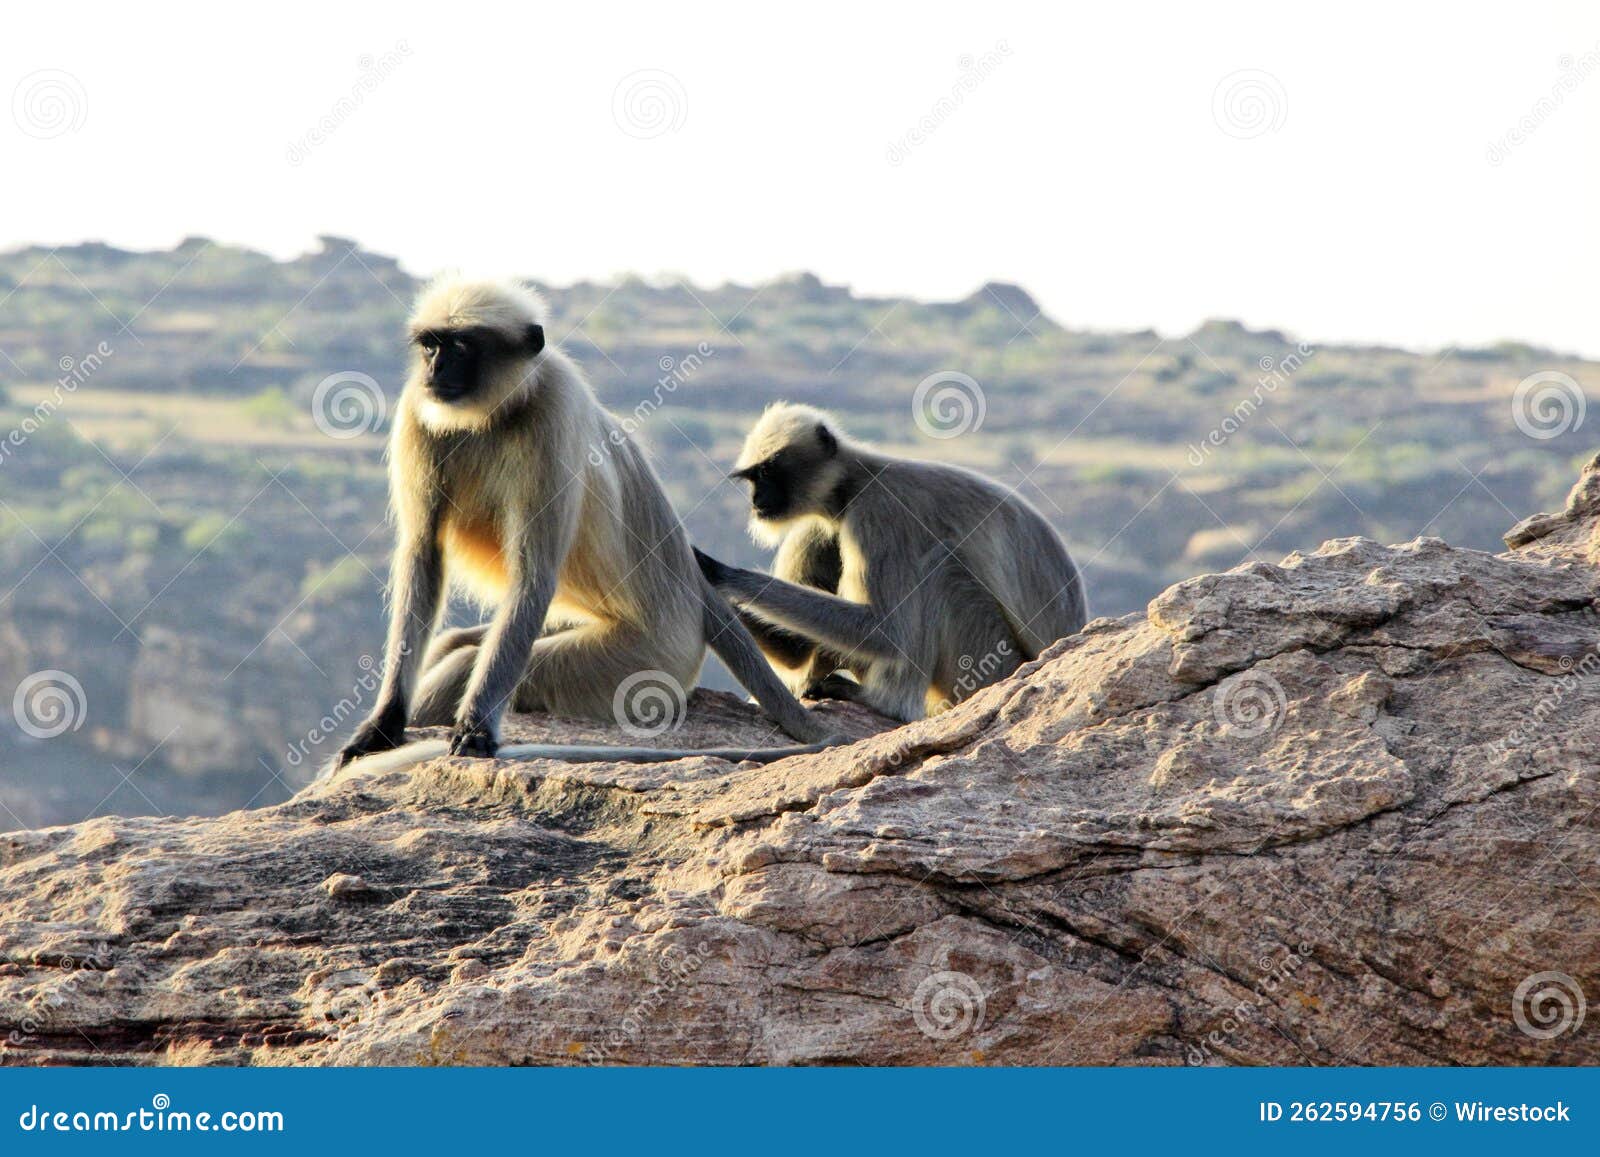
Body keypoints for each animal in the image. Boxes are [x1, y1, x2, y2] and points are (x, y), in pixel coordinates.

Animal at [334, 277, 836, 771]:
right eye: (430, 346)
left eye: (460, 347)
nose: (434, 370)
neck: (498, 410)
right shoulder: (417, 407)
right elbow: (425, 551)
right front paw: (383, 723)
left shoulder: (554, 405)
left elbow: (534, 572)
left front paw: (475, 728)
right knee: (454, 645)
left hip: (640, 662)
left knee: (463, 665)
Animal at [694, 402, 1087, 723]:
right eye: (752, 477)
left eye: (768, 472)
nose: (757, 500)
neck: (853, 484)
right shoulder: (816, 526)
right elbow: (796, 650)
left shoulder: (879, 512)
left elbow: (886, 630)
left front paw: (720, 572)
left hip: (993, 663)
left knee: (940, 570)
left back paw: (886, 704)